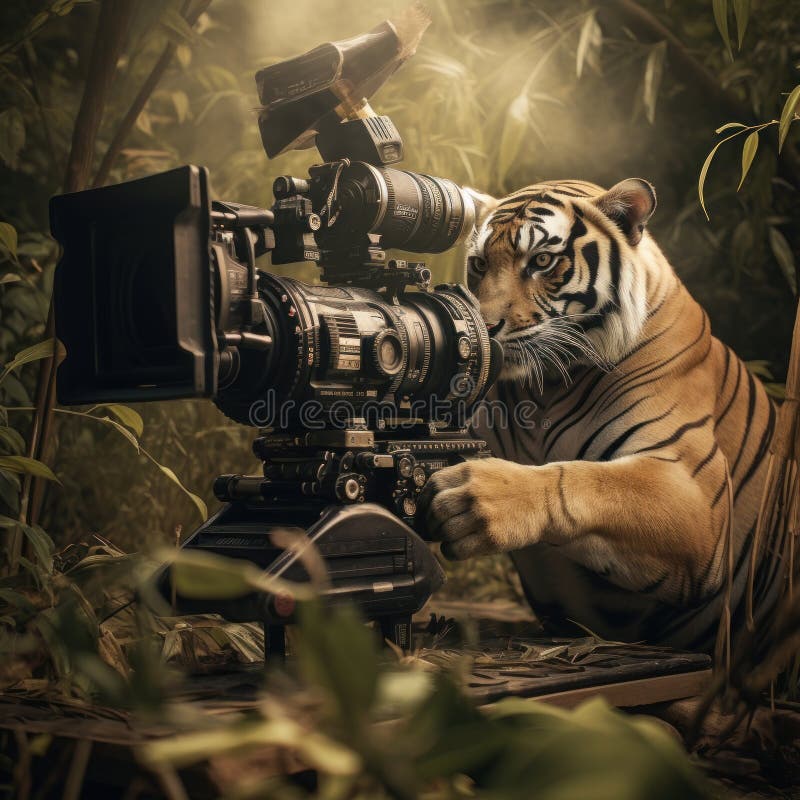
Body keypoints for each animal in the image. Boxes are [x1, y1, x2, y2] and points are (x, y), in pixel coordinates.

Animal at [417, 177, 785, 654]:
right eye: (479, 264)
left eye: (541, 261)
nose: (485, 326)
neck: (544, 388)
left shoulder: (697, 502)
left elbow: (584, 481)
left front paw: (481, 497)